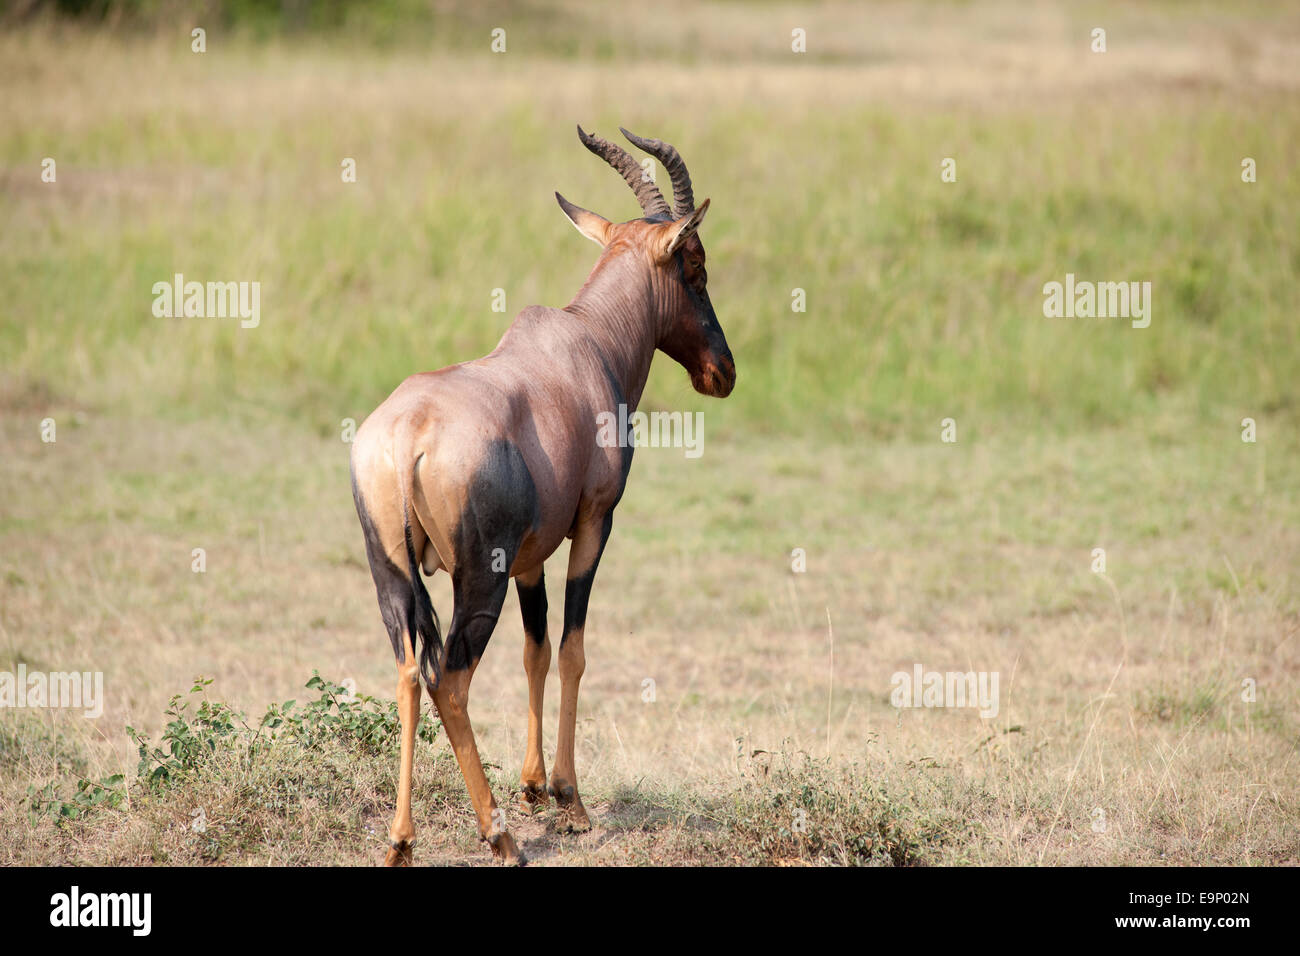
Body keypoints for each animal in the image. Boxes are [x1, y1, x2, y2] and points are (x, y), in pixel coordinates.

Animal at [350, 126, 734, 865]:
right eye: (695, 264)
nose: (722, 372)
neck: (583, 344)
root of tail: (409, 433)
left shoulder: (530, 557)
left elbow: (535, 650)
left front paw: (530, 787)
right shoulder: (593, 523)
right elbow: (574, 647)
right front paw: (567, 801)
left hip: (390, 574)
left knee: (409, 671)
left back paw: (401, 841)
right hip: (480, 577)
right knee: (449, 679)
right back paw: (499, 835)